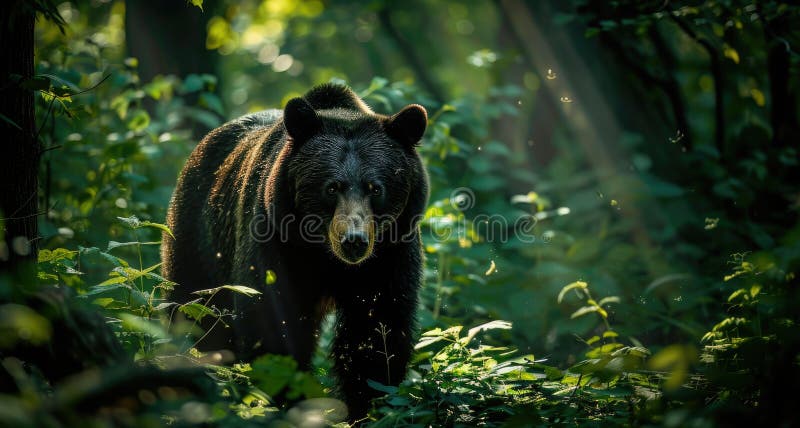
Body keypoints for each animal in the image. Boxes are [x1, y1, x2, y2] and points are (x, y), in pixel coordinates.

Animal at [161, 83, 429, 419]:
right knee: (195, 313)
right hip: (198, 238)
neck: (323, 255)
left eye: (375, 187)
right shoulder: (276, 242)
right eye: (332, 187)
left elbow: (376, 329)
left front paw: (369, 404)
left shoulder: (389, 256)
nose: (353, 240)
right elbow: (271, 322)